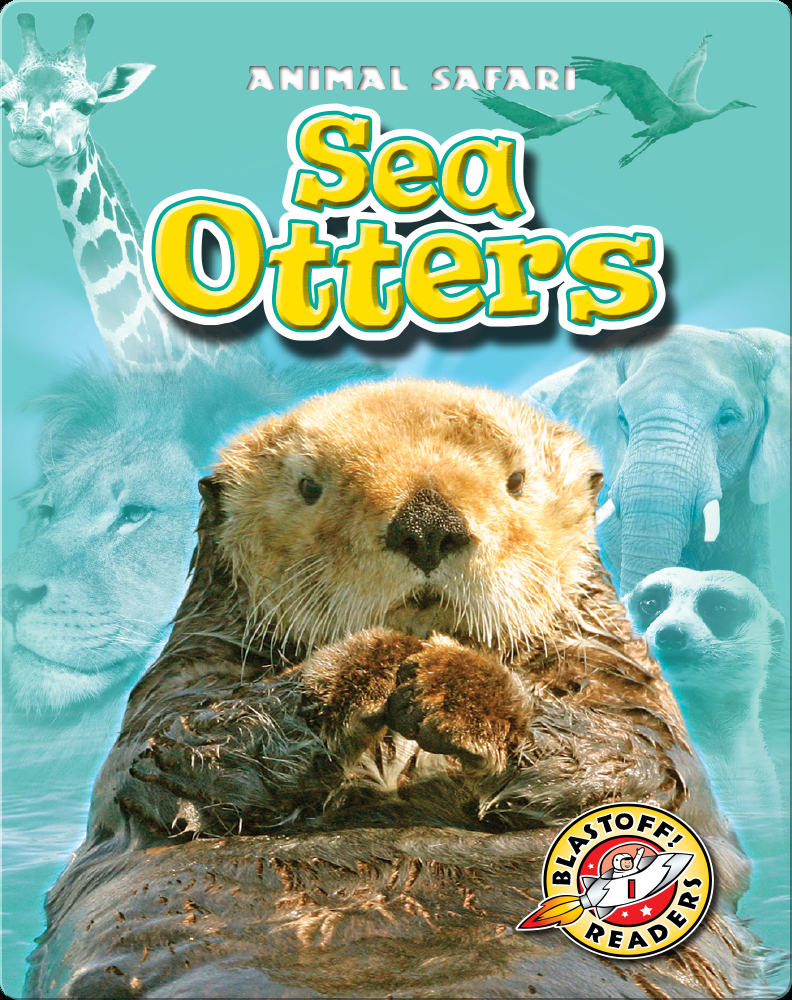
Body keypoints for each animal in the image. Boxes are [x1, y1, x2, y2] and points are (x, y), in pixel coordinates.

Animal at [28, 381, 759, 998]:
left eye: (517, 481)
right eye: (309, 486)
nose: (428, 523)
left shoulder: (621, 683)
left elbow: (625, 754)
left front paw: (451, 687)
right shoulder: (185, 679)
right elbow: (186, 745)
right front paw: (371, 665)